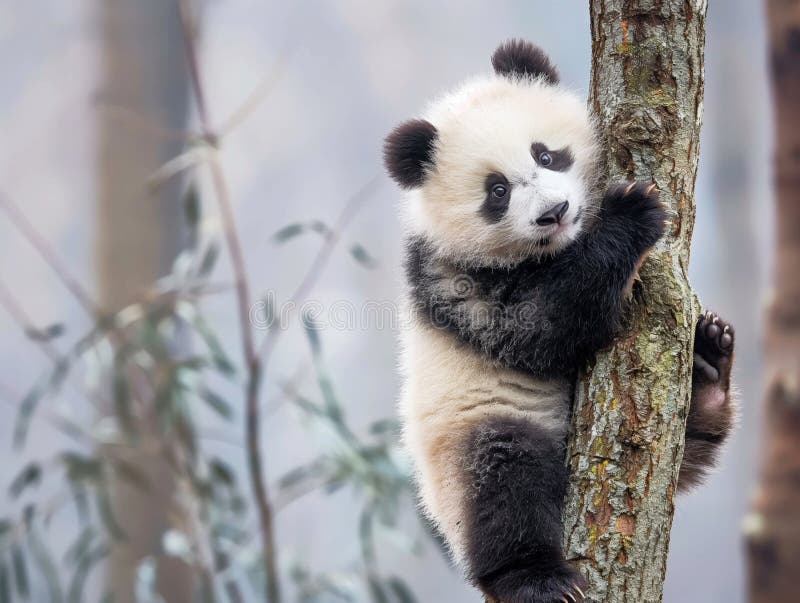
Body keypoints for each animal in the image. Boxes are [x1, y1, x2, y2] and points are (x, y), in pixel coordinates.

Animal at [383, 40, 736, 603]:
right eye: (497, 191)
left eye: (545, 154)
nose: (556, 210)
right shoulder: (457, 282)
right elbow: (542, 326)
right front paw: (631, 215)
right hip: (467, 441)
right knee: (505, 486)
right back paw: (536, 578)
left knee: (691, 448)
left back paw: (710, 368)